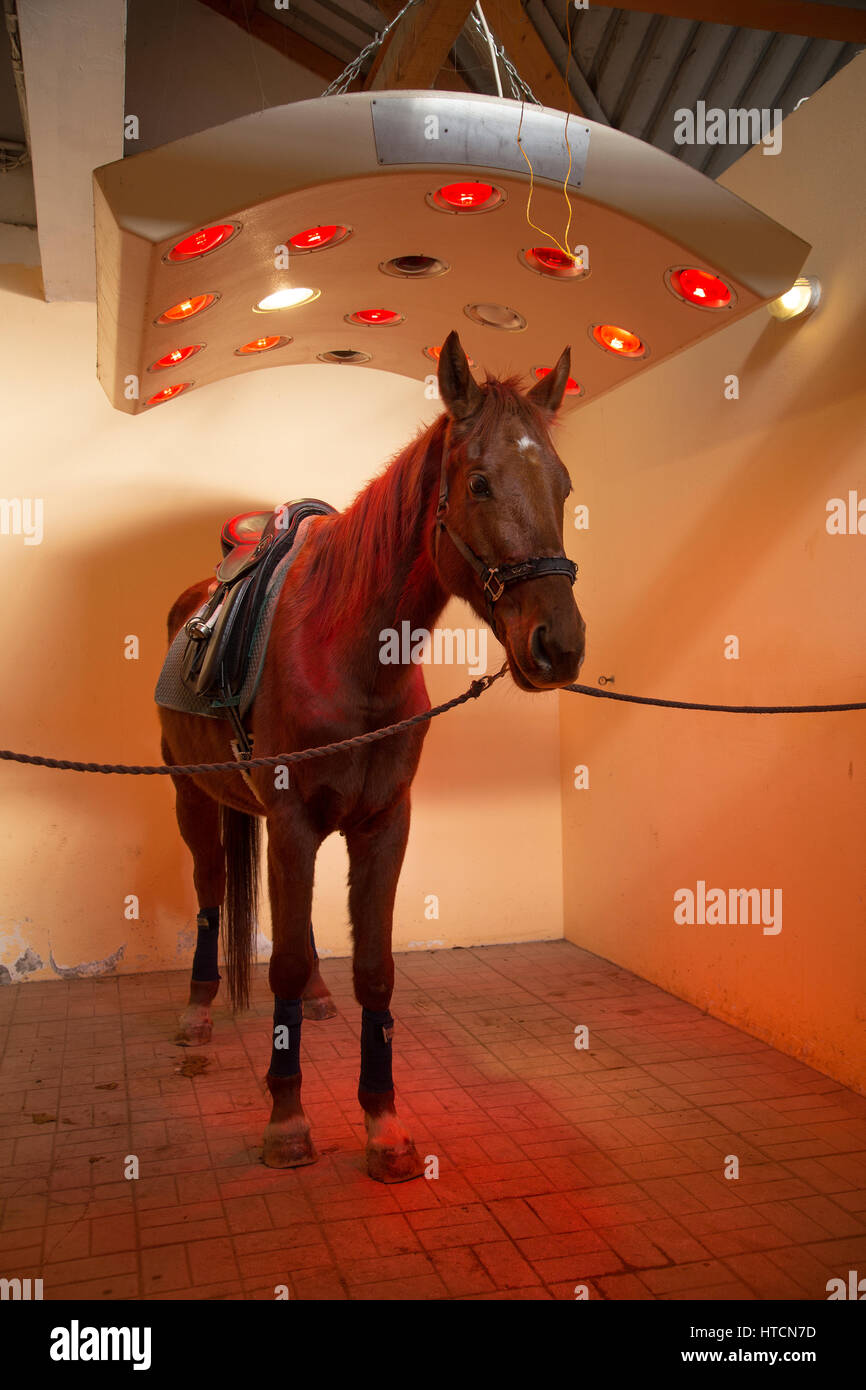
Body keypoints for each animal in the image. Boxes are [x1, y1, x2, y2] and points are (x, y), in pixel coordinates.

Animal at [158, 330, 586, 1182]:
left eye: (561, 485)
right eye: (480, 483)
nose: (560, 645)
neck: (352, 651)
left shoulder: (384, 822)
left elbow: (375, 969)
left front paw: (382, 1124)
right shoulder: (290, 822)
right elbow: (283, 961)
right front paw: (288, 1119)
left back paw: (318, 1001)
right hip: (194, 797)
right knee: (212, 892)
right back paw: (197, 1013)